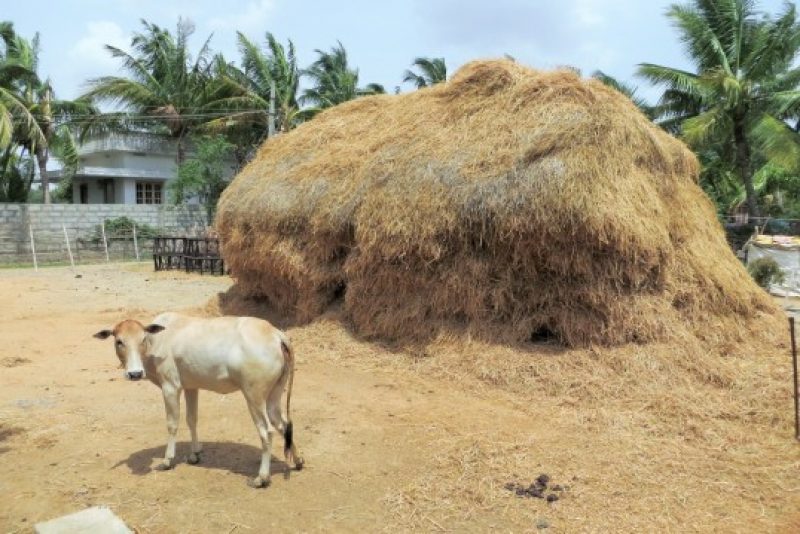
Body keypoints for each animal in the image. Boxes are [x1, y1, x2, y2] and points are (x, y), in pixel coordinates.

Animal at [94, 312, 304, 488]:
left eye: (142, 339)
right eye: (119, 341)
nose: (135, 373)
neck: (160, 339)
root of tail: (276, 335)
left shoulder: (170, 388)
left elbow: (172, 423)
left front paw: (167, 461)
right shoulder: (191, 388)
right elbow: (191, 419)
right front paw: (195, 455)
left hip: (253, 396)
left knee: (267, 431)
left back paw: (261, 478)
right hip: (273, 395)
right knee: (283, 424)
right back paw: (298, 461)